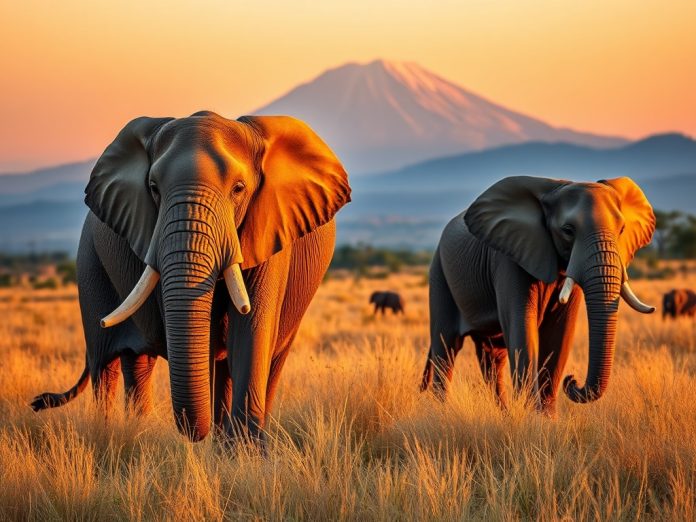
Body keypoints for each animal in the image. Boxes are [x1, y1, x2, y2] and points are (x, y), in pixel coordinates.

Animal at [31, 111, 351, 443]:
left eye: (238, 189)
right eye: (154, 188)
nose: (196, 434)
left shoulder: (270, 228)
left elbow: (250, 331)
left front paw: (243, 451)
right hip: (89, 262)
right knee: (107, 363)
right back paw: (115, 434)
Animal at [420, 176, 656, 414]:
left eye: (622, 229)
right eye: (568, 230)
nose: (572, 380)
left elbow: (560, 335)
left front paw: (546, 418)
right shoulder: (509, 258)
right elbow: (523, 329)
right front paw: (532, 416)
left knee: (492, 356)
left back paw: (503, 413)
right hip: (439, 273)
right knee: (446, 346)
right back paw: (441, 411)